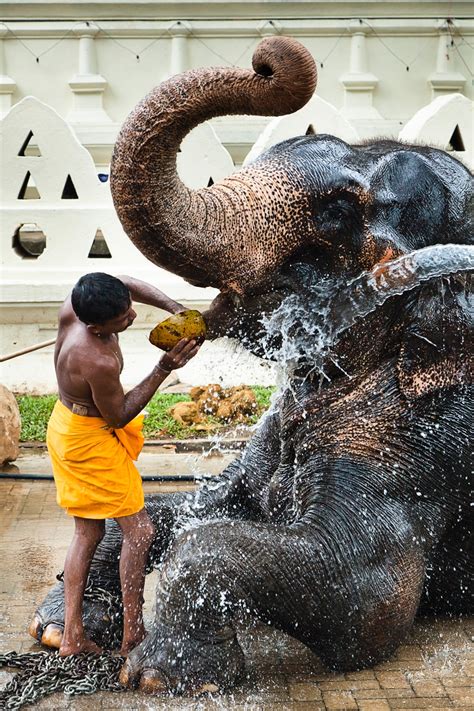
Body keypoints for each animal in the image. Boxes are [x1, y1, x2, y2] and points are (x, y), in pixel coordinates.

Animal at [30, 36, 473, 695]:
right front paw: (57, 628)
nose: (268, 60)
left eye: (339, 210)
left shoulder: (427, 448)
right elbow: (187, 507)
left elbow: (364, 597)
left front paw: (166, 674)